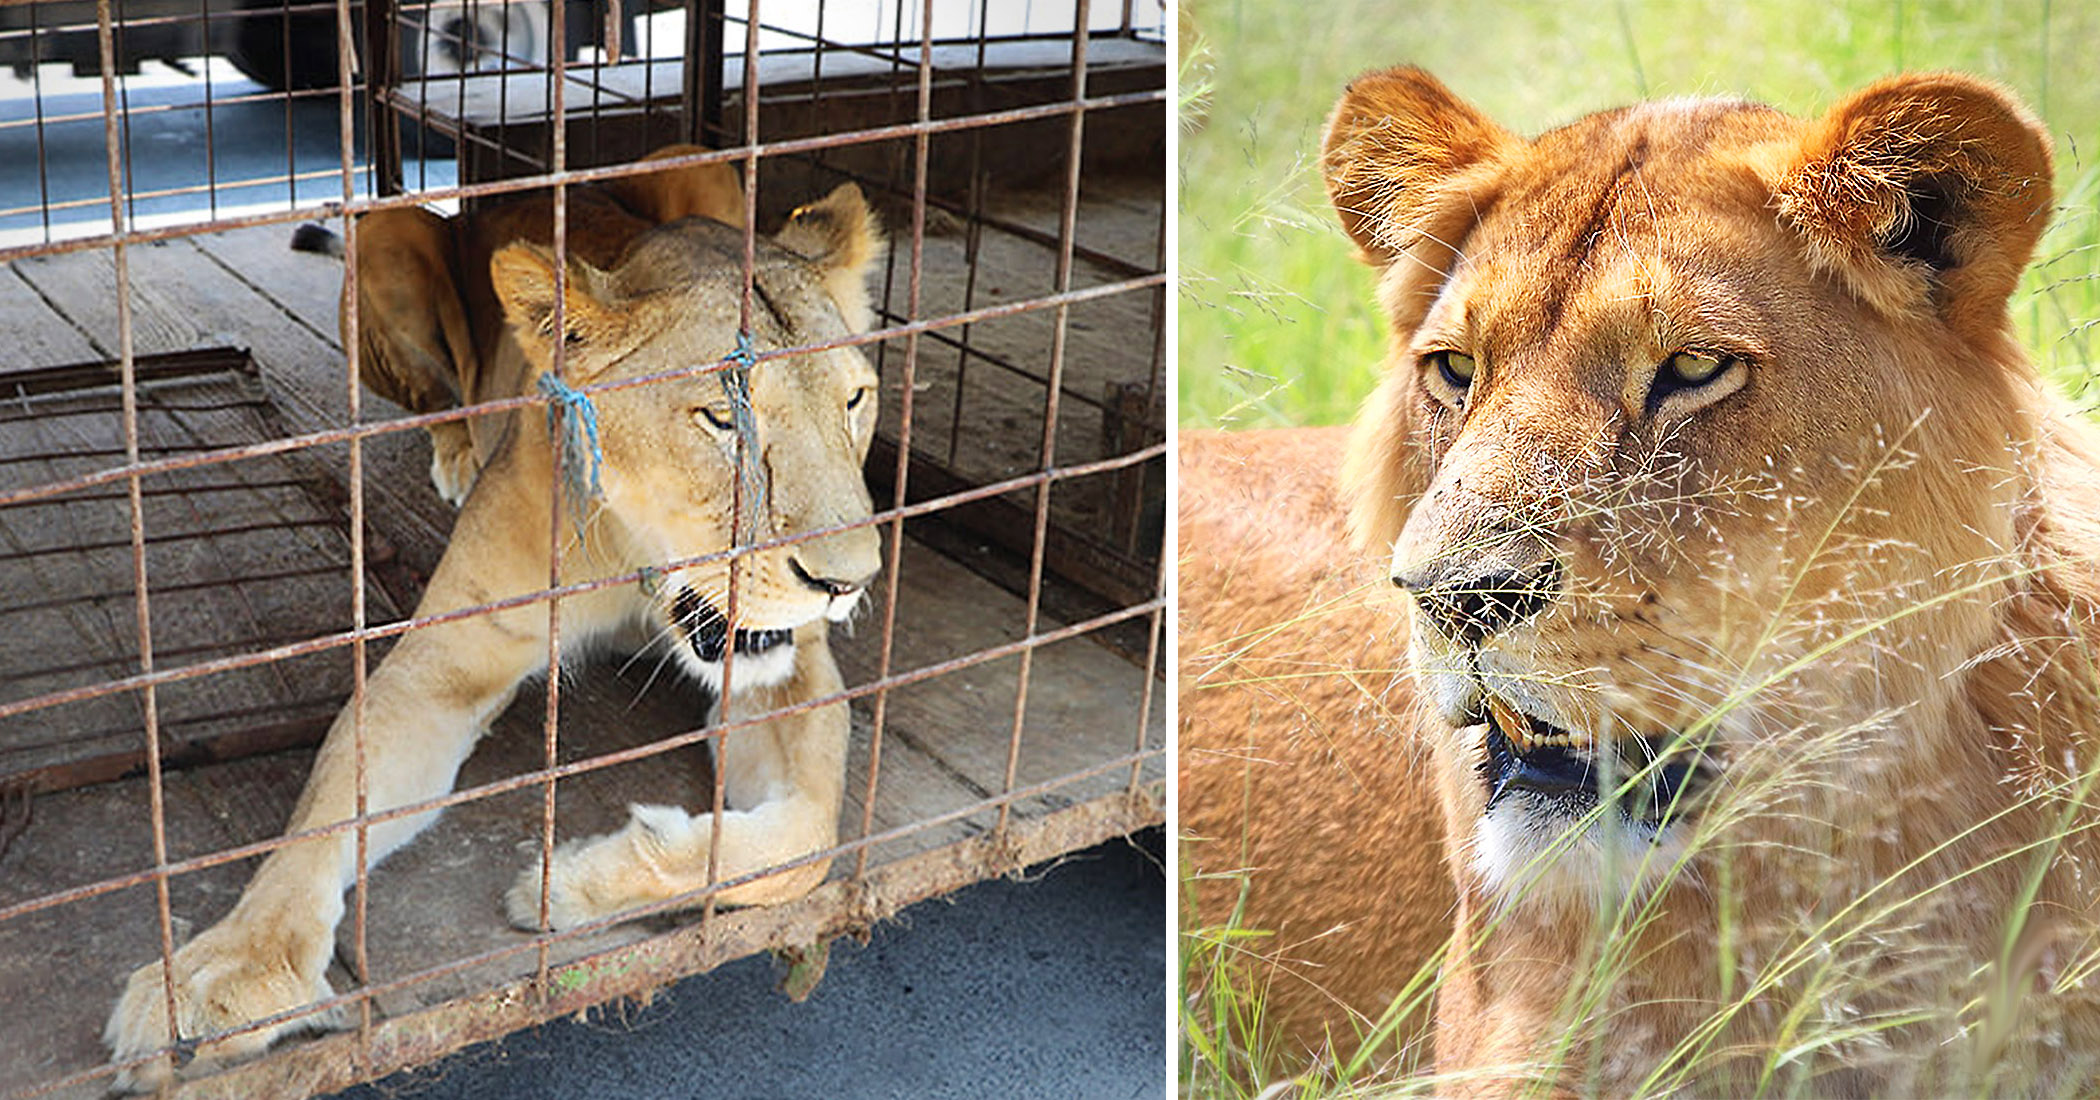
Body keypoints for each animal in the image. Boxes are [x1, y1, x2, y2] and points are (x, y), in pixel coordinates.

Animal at [104, 149, 885, 1090]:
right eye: (721, 417)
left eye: (856, 401)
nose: (849, 581)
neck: (641, 563)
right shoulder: (439, 669)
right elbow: (331, 809)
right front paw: (235, 965)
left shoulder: (789, 662)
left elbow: (808, 839)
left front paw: (576, 882)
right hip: (389, 234)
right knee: (435, 394)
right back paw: (454, 456)